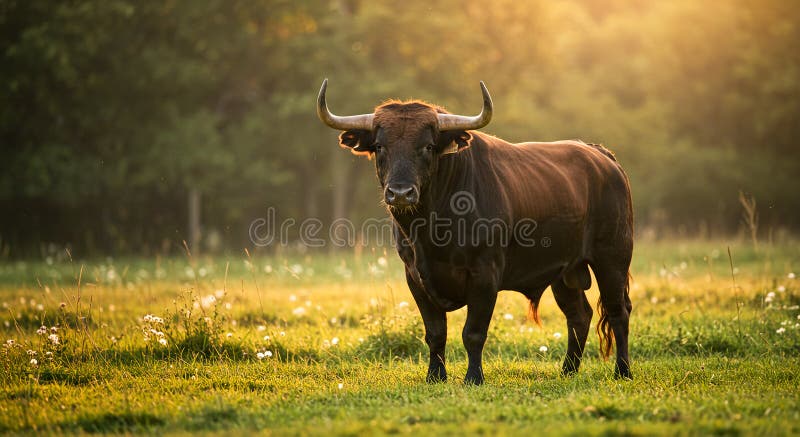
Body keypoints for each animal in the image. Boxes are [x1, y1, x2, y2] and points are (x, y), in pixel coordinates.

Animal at [317, 79, 633, 385]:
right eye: (380, 146)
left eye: (428, 146)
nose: (401, 193)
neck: (431, 230)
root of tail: (602, 156)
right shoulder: (414, 277)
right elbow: (435, 333)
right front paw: (435, 376)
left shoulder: (485, 275)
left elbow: (473, 333)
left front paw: (473, 377)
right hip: (565, 271)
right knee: (579, 314)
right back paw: (568, 370)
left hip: (613, 257)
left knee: (618, 311)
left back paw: (623, 371)